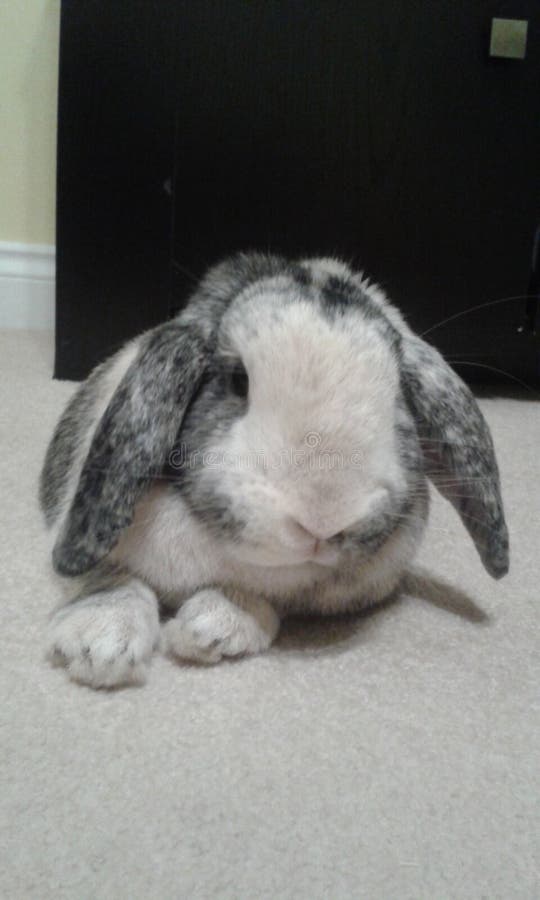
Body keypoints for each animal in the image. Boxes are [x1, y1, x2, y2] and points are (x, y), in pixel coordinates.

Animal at [40, 252, 509, 688]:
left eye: (397, 397)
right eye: (238, 380)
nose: (324, 521)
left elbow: (259, 599)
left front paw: (213, 628)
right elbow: (108, 579)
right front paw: (100, 647)